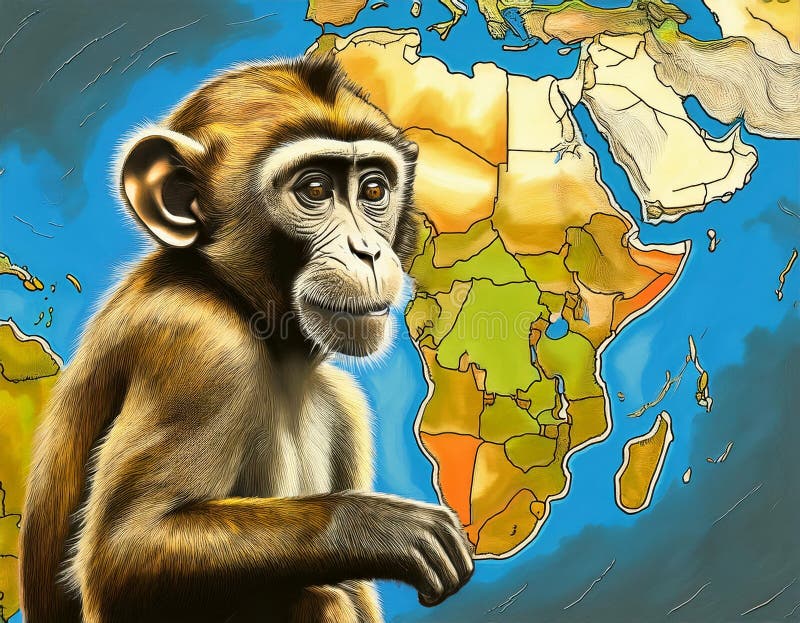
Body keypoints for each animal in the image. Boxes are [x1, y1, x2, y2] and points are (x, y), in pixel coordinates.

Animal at [20, 56, 474, 623]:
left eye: (373, 191)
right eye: (315, 191)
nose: (368, 250)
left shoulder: (346, 408)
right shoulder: (198, 347)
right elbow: (126, 554)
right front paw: (383, 527)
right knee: (315, 594)